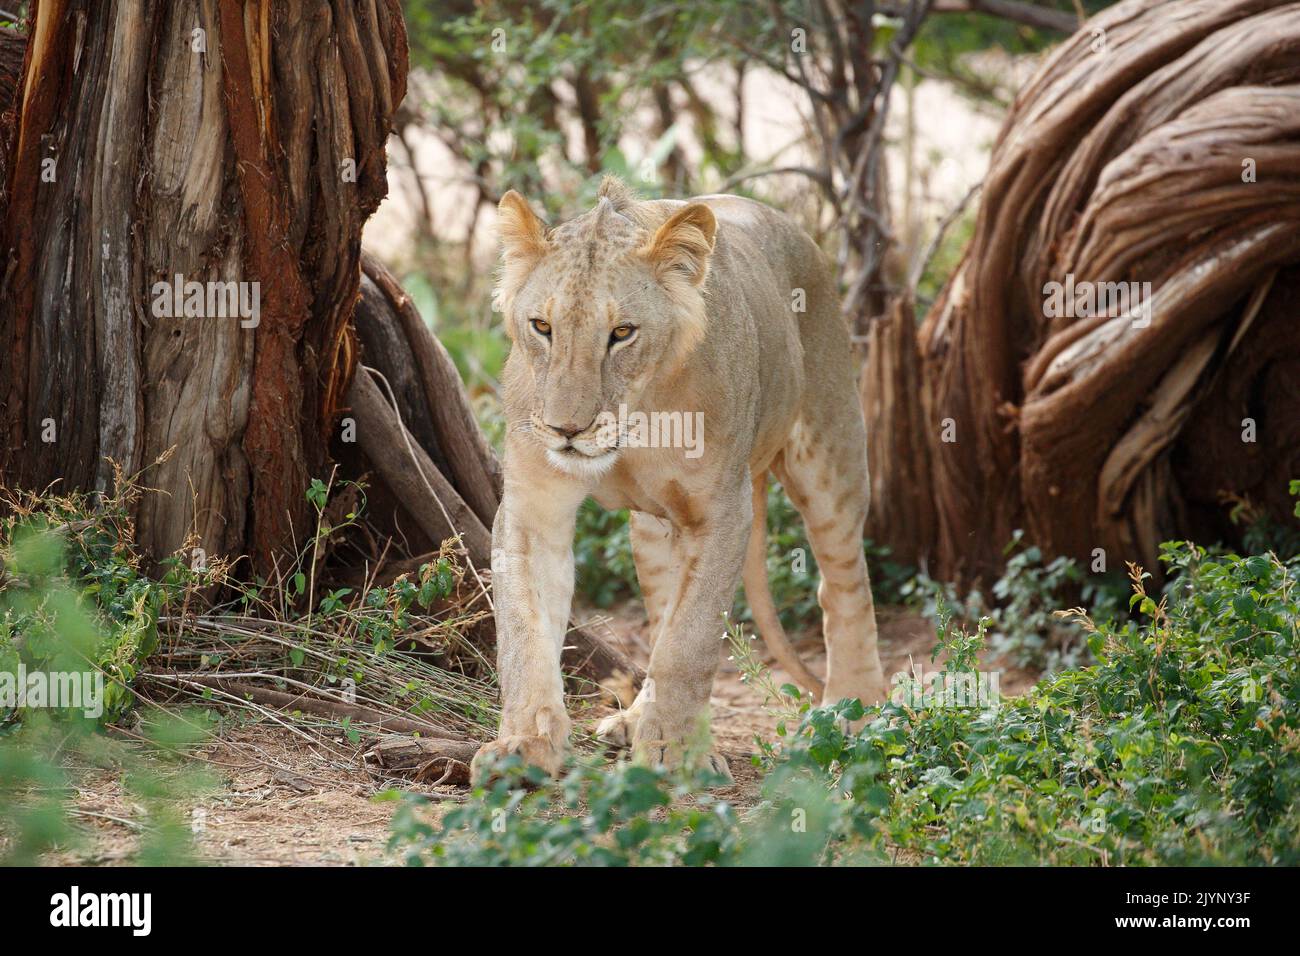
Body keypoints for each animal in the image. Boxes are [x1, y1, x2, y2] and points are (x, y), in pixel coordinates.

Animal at [470, 177, 887, 784]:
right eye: (542, 327)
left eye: (622, 333)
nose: (567, 429)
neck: (639, 419)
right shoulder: (532, 509)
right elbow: (524, 634)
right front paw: (524, 744)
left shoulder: (724, 511)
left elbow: (688, 641)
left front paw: (675, 750)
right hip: (652, 527)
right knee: (662, 606)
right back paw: (633, 718)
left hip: (830, 450)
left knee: (842, 583)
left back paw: (856, 710)